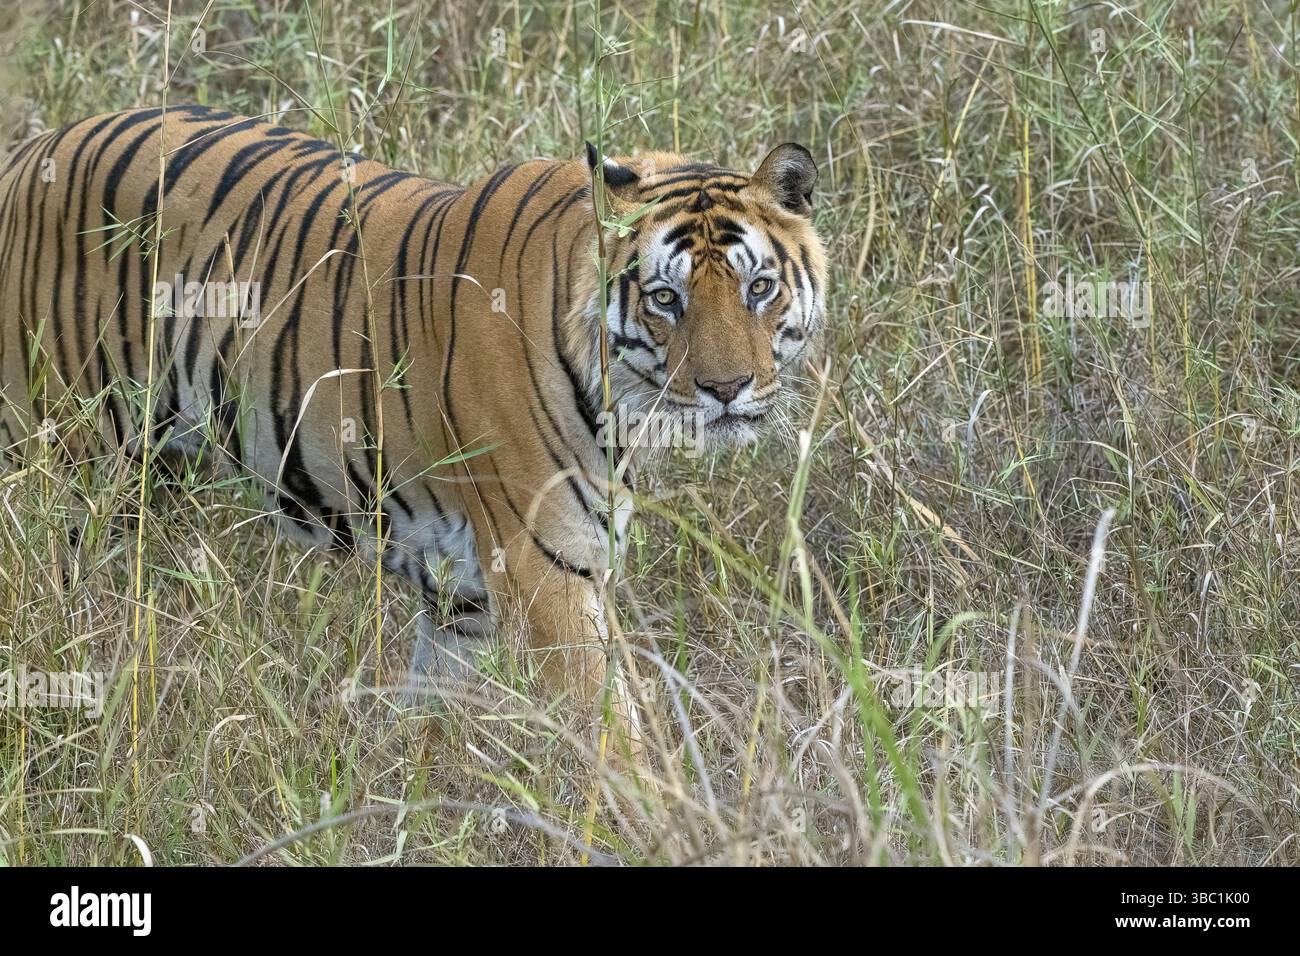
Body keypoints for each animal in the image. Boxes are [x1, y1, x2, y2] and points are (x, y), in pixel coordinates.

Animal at [0, 104, 827, 744]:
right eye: (664, 298)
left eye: (758, 288)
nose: (727, 389)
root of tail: (27, 154)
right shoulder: (549, 575)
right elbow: (616, 742)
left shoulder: (465, 596)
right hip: (69, 478)